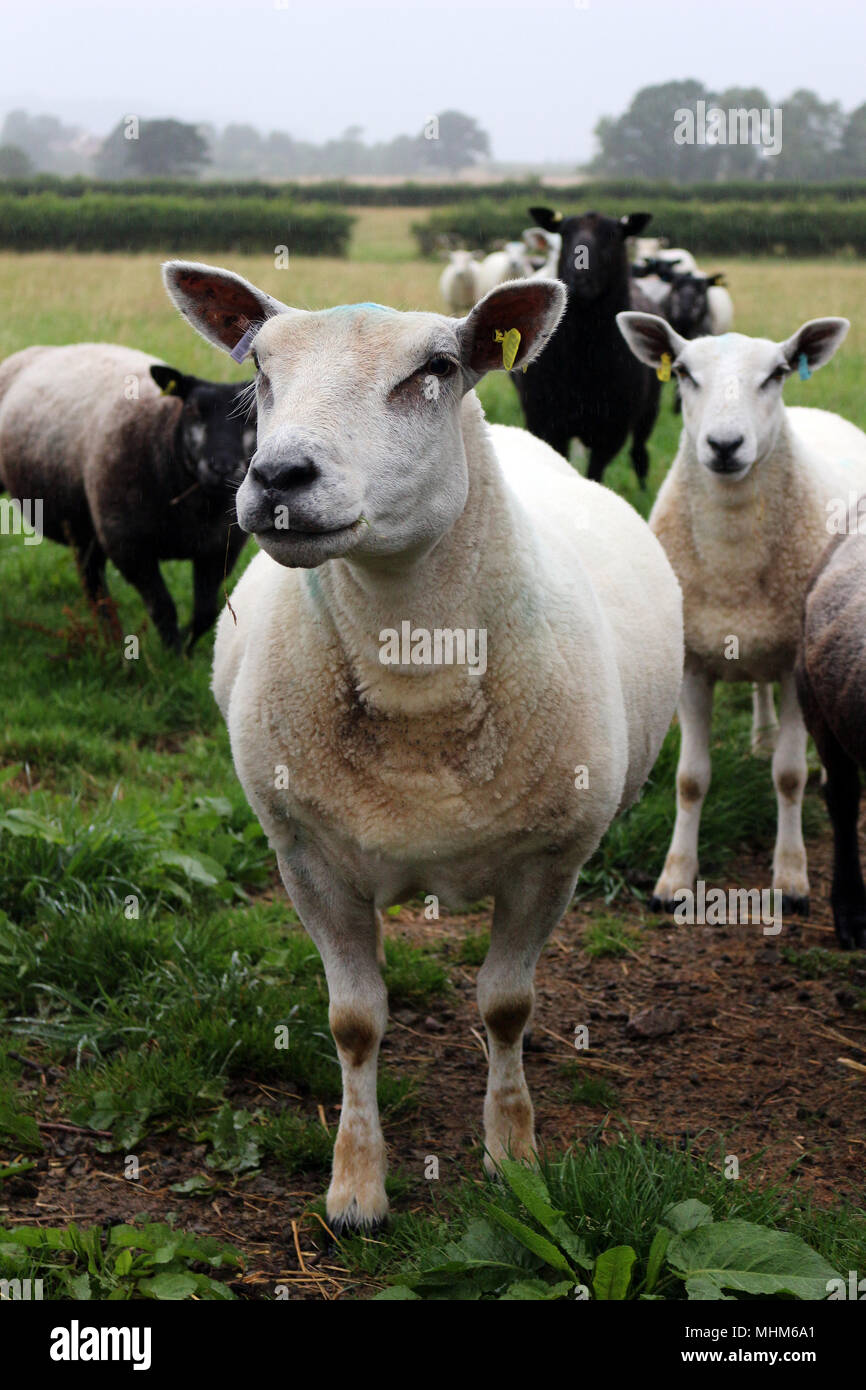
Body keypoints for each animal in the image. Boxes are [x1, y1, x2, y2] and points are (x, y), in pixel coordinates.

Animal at [0, 344, 254, 650]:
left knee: (92, 579)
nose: (223, 467)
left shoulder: (218, 550)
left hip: (86, 523)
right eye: (192, 410)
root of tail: (30, 351)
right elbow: (163, 607)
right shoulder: (128, 544)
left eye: (252, 414)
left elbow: (205, 613)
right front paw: (173, 652)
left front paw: (187, 645)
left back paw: (108, 637)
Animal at [162, 259, 685, 1231]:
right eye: (261, 367)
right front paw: (356, 1187)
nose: (278, 475)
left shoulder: (552, 860)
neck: (412, 671)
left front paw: (513, 1156)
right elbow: (355, 1023)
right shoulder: (306, 857)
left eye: (436, 368)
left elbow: (507, 1008)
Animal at [515, 207, 661, 484]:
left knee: (640, 454)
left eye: (613, 235)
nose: (578, 277)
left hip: (650, 408)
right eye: (564, 234)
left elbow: (595, 474)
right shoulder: (547, 423)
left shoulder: (612, 432)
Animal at [616, 309, 866, 918]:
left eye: (776, 373)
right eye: (683, 372)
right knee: (756, 688)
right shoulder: (693, 662)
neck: (732, 566)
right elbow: (690, 779)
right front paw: (674, 878)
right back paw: (760, 734)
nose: (725, 445)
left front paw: (792, 877)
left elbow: (790, 776)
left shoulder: (793, 663)